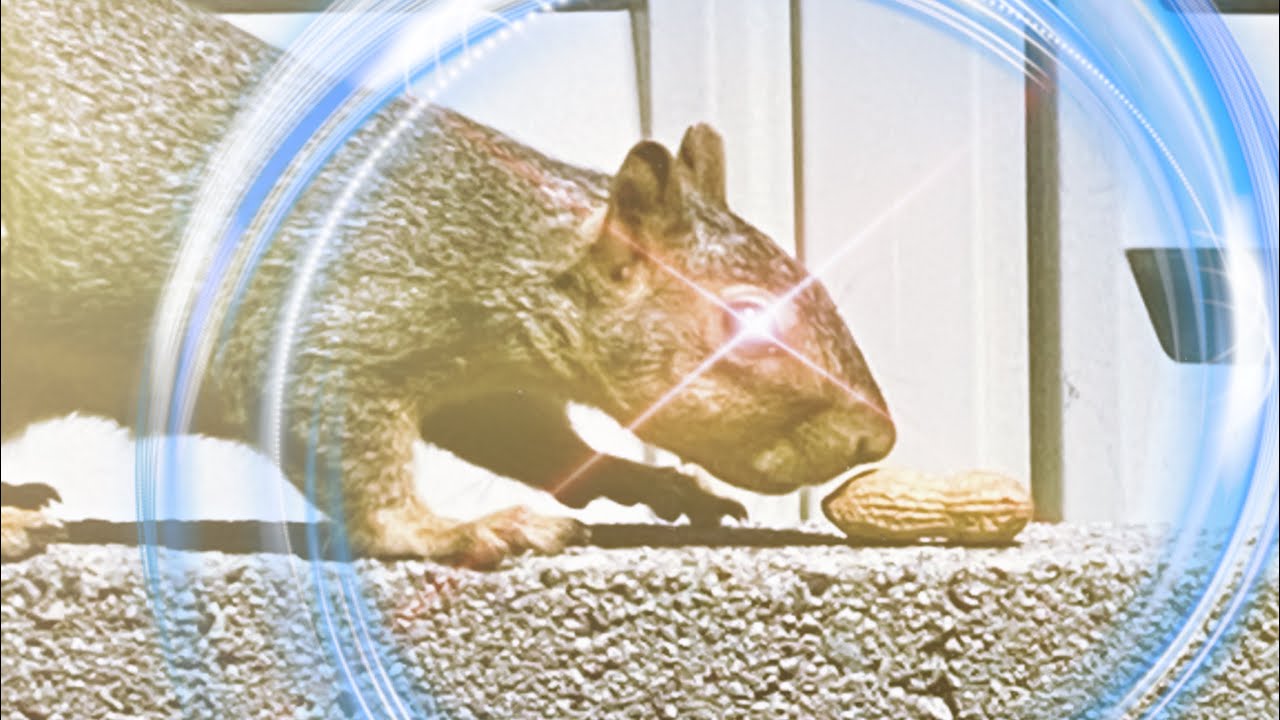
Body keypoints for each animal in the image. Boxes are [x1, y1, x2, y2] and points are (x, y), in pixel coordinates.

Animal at [0, 0, 895, 567]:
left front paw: (646, 479)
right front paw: (454, 531)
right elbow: (352, 459)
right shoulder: (330, 315)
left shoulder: (487, 383)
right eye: (747, 324)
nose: (877, 441)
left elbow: (530, 441)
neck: (502, 244)